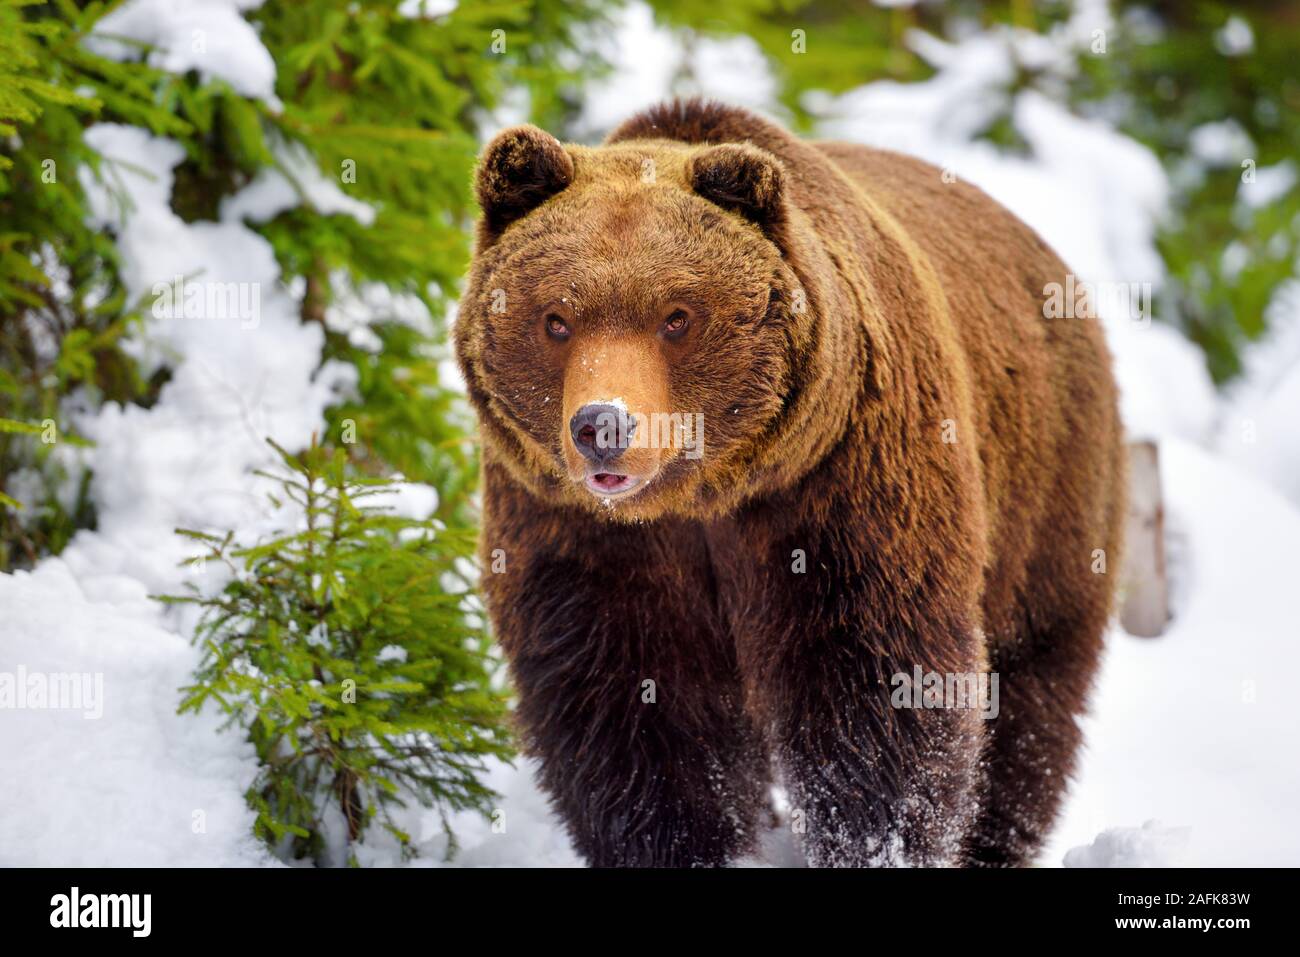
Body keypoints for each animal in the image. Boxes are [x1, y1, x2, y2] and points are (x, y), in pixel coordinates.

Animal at [454, 99, 1126, 867]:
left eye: (677, 316)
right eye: (557, 319)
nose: (605, 425)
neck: (704, 495)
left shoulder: (839, 481)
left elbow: (870, 682)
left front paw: (874, 844)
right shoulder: (577, 527)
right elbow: (628, 699)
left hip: (1045, 489)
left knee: (1027, 693)